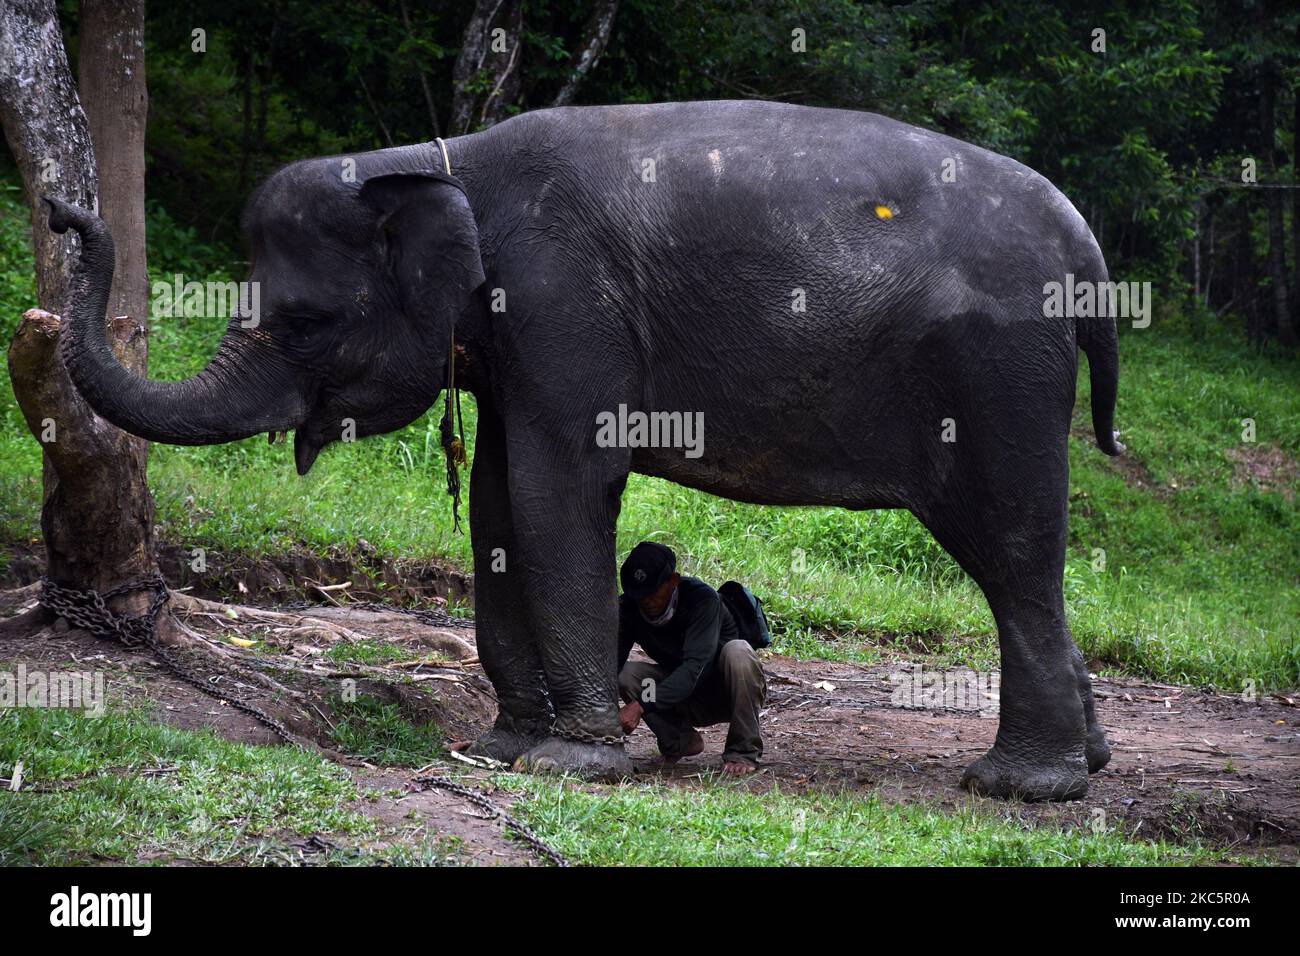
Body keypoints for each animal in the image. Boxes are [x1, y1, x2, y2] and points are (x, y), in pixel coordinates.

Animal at [47, 99, 1121, 800]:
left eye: (306, 322)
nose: (63, 211)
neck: (441, 160)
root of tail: (1087, 243)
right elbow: (495, 500)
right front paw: (501, 749)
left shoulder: (565, 303)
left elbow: (559, 489)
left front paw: (572, 763)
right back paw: (1090, 760)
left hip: (999, 374)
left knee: (1010, 547)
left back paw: (1022, 786)